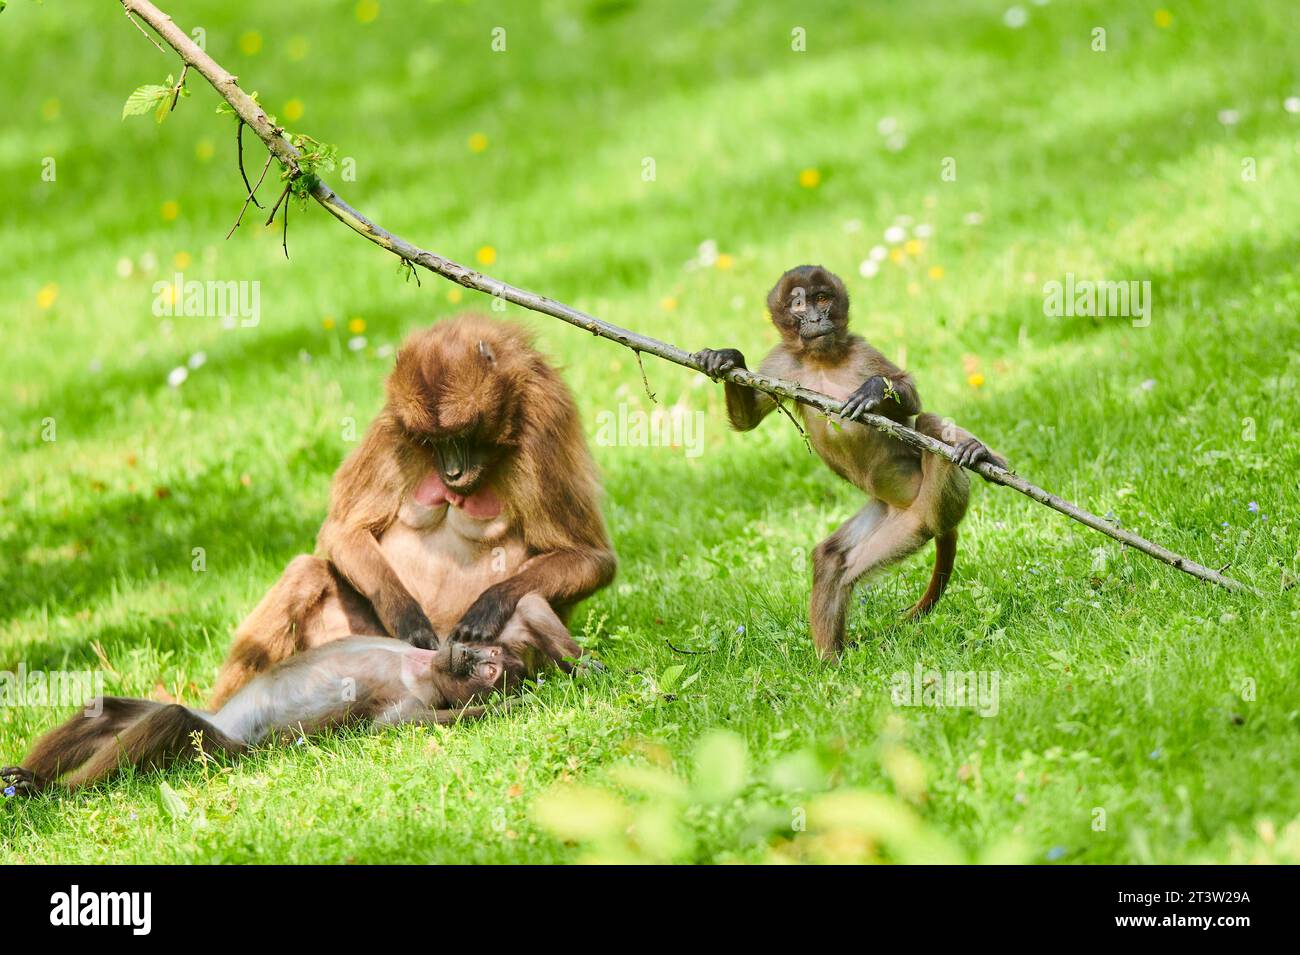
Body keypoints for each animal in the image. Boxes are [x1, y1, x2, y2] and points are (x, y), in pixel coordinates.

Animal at [1, 593, 585, 795]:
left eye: (488, 668)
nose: (468, 656)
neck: (420, 670)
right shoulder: (425, 642)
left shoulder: (416, 704)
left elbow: (392, 726)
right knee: (105, 710)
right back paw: (30, 778)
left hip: (222, 748)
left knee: (171, 721)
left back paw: (50, 792)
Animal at [209, 315, 616, 707]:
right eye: (431, 441)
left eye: (462, 437)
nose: (452, 472)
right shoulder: (394, 427)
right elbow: (342, 529)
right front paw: (406, 615)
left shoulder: (544, 421)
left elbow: (592, 558)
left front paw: (492, 602)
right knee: (307, 573)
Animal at [695, 265, 1007, 659]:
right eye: (799, 304)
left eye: (822, 298)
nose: (816, 318)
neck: (821, 359)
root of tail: (919, 511)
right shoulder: (783, 362)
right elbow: (747, 421)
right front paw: (728, 358)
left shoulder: (860, 350)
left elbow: (910, 398)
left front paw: (874, 390)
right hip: (892, 514)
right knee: (833, 561)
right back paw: (831, 662)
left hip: (936, 507)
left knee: (928, 425)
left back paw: (977, 452)